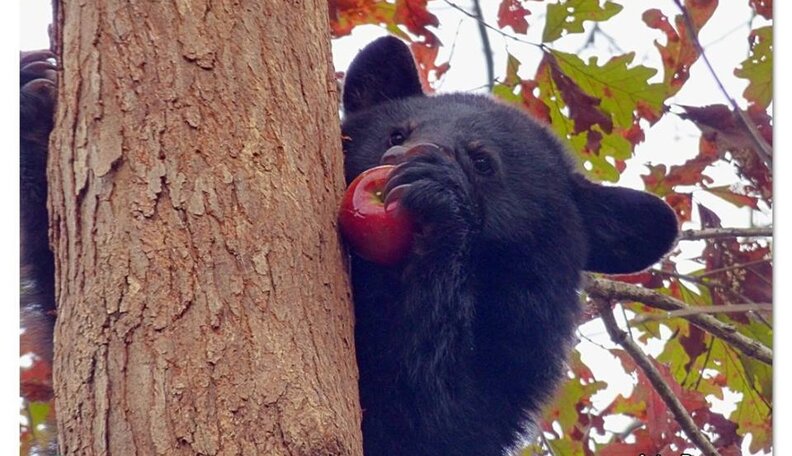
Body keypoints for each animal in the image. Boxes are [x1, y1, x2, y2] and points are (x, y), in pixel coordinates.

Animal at [341, 36, 678, 455]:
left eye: (483, 162)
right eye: (396, 134)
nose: (398, 159)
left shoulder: (511, 364)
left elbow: (429, 412)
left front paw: (438, 196)